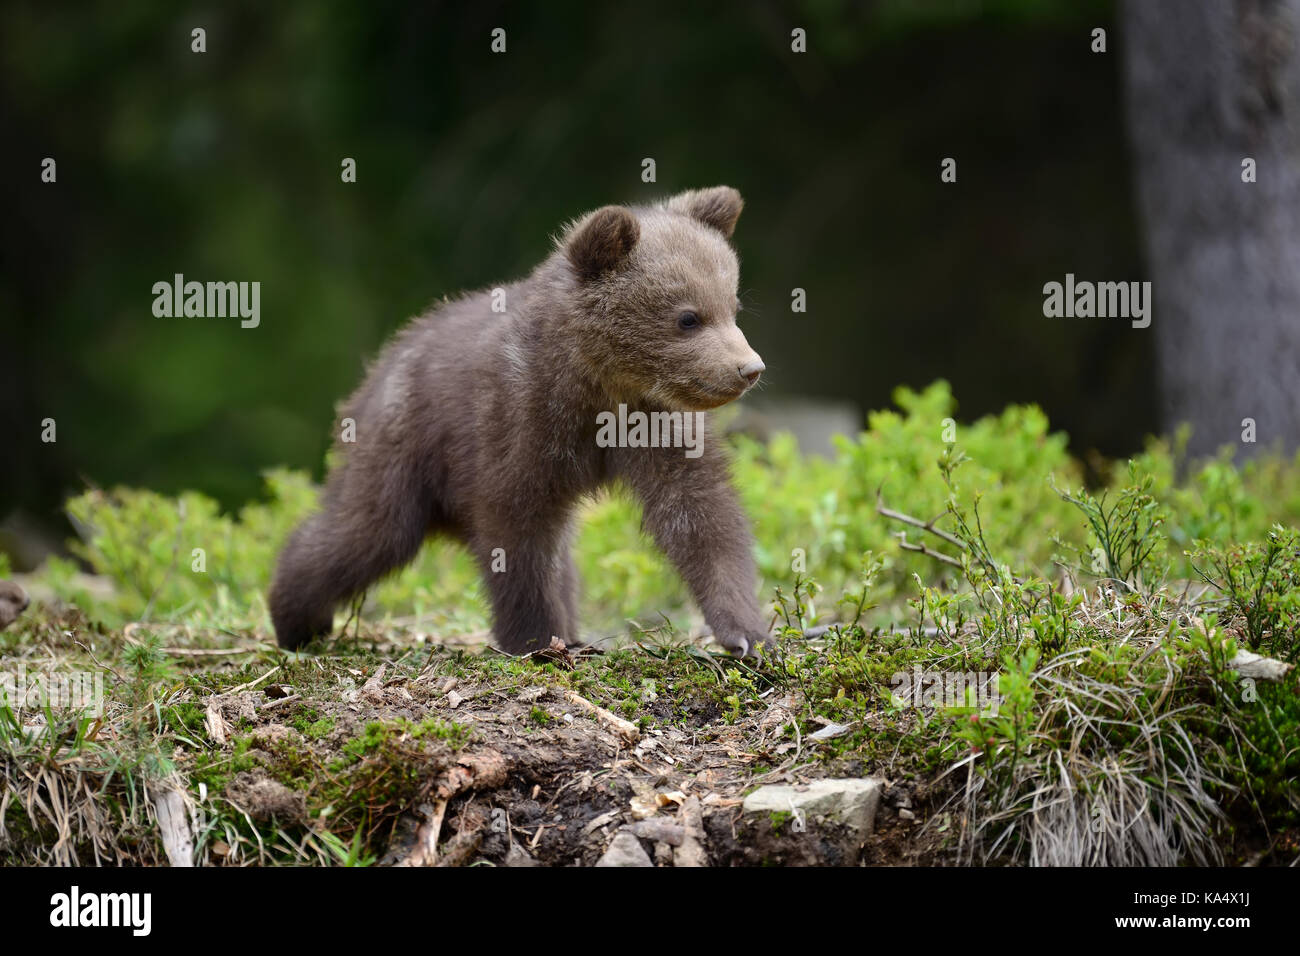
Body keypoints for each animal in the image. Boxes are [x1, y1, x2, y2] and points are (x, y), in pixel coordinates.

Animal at [269, 186, 771, 656]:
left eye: (733, 307)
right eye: (688, 317)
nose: (749, 368)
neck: (597, 385)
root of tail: (377, 369)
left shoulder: (654, 423)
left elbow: (701, 515)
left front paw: (747, 633)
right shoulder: (517, 419)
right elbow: (515, 526)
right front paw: (535, 638)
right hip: (403, 443)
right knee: (368, 531)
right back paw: (294, 616)